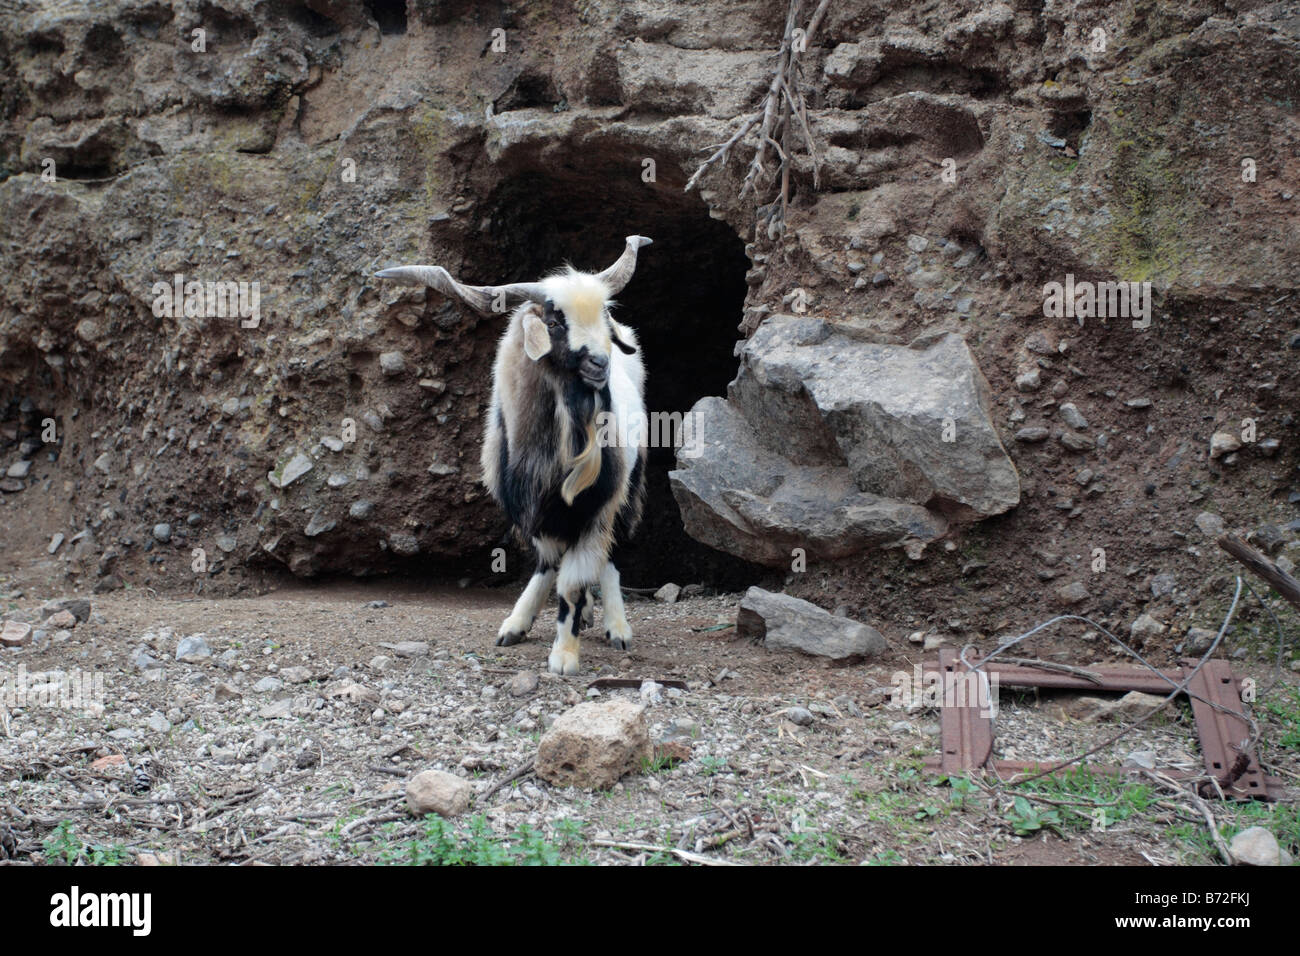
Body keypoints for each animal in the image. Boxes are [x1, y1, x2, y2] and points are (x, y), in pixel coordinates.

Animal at [375, 236, 651, 674]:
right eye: (555, 323)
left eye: (603, 319)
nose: (600, 363)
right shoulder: (527, 501)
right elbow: (550, 565)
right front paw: (522, 625)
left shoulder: (594, 508)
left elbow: (572, 584)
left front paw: (564, 656)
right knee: (554, 562)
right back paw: (522, 622)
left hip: (628, 484)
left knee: (609, 555)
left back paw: (616, 627)